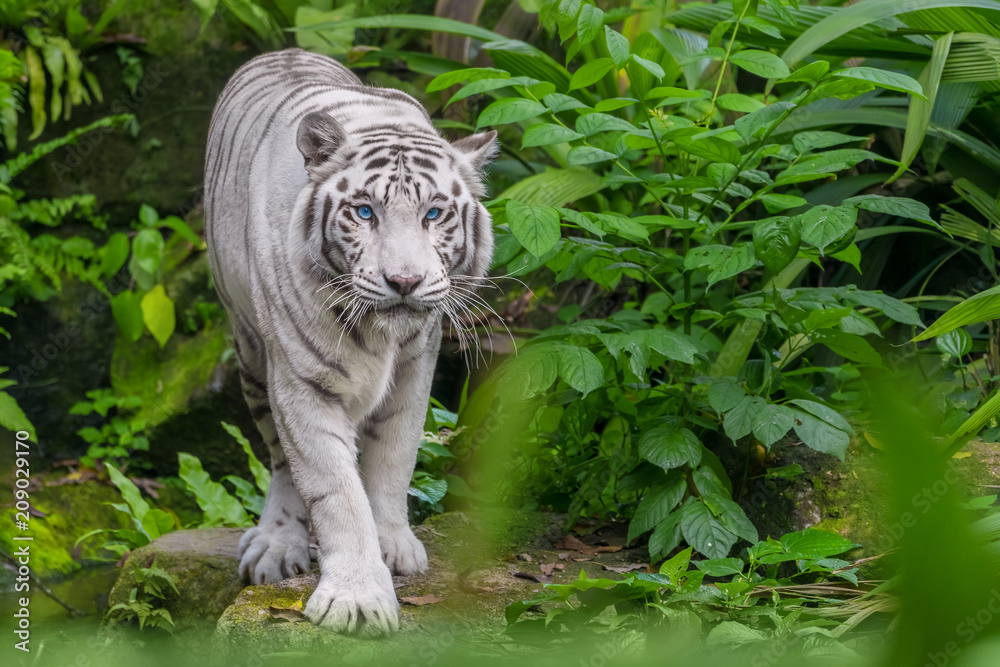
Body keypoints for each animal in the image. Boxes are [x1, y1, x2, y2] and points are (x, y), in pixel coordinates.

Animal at [203, 48, 496, 637]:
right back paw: (276, 546)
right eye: (365, 212)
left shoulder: (415, 368)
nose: (404, 281)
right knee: (279, 461)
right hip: (250, 354)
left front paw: (394, 546)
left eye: (433, 213)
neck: (379, 335)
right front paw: (357, 599)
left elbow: (393, 460)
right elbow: (335, 490)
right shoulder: (300, 382)